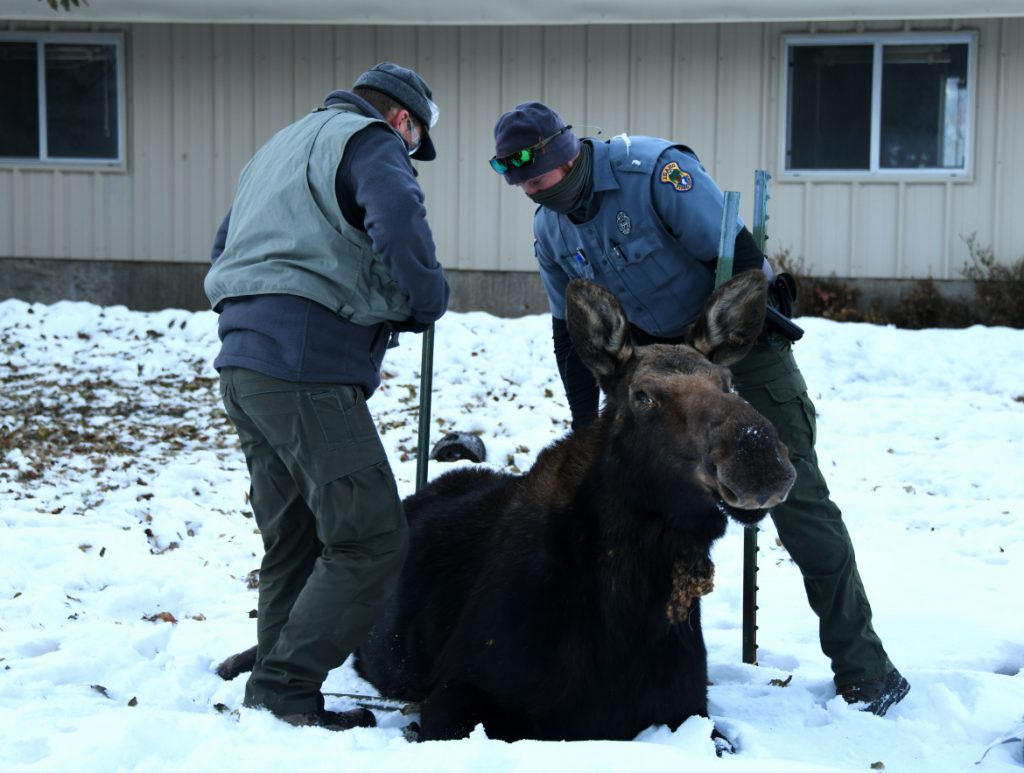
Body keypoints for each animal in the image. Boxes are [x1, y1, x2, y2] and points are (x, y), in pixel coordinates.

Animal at [217, 271, 796, 743]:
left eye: (728, 382)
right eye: (643, 396)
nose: (759, 457)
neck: (632, 601)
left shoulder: (691, 711)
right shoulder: (457, 694)